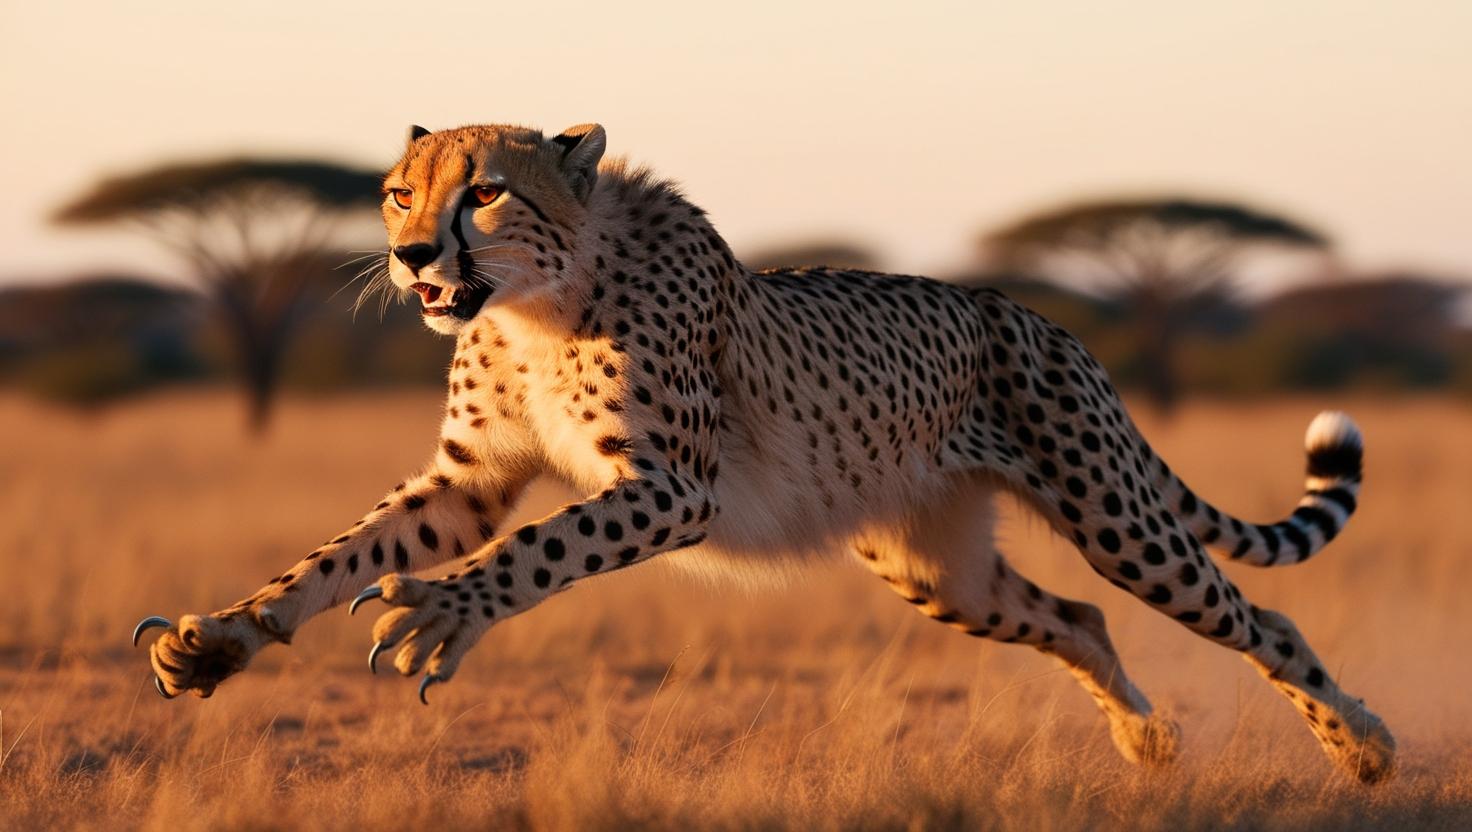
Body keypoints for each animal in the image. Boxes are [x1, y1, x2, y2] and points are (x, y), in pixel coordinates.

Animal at [133, 122, 1395, 783]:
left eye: (483, 192)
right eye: (400, 192)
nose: (405, 256)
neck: (537, 301)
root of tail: (1036, 313)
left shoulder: (671, 489)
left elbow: (542, 546)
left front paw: (444, 612)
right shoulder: (465, 480)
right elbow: (336, 555)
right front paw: (219, 640)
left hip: (1115, 516)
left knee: (1257, 619)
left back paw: (1363, 743)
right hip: (934, 567)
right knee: (1075, 617)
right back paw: (1143, 735)